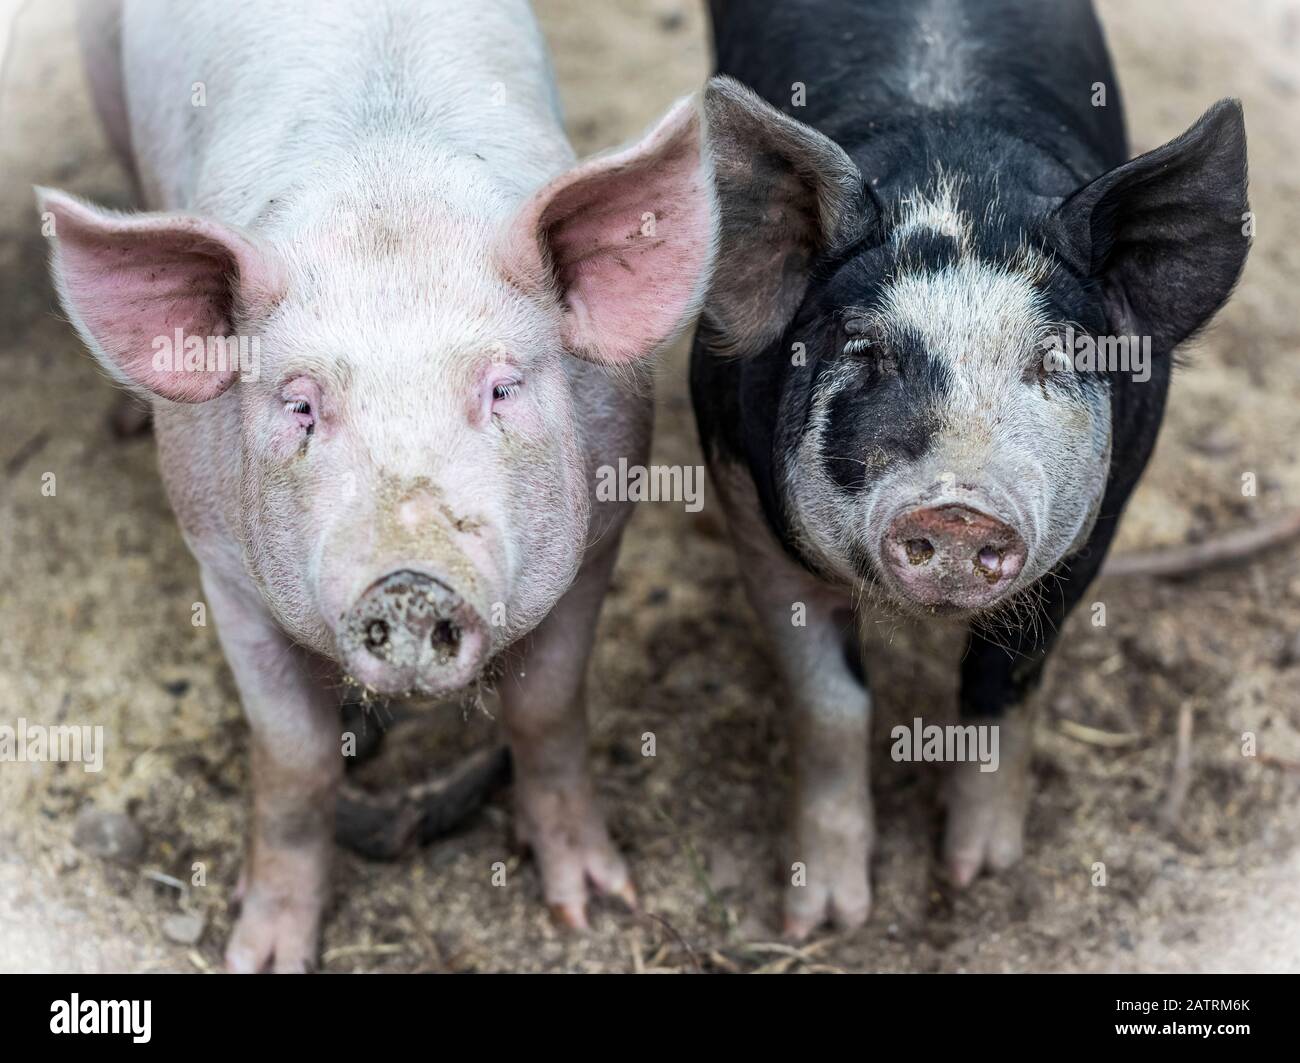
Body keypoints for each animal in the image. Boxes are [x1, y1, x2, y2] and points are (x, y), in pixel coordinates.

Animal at [43, 0, 722, 966]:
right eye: (299, 404)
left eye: (502, 387)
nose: (407, 579)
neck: (388, 185)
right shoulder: (218, 564)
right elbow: (294, 759)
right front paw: (262, 953)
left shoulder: (601, 536)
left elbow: (548, 712)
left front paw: (594, 905)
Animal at [691, 0, 1248, 925]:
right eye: (866, 349)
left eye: (1055, 357)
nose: (956, 507)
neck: (954, 160)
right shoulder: (742, 493)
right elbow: (828, 703)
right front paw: (829, 915)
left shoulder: (1103, 516)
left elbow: (1000, 680)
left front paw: (976, 874)